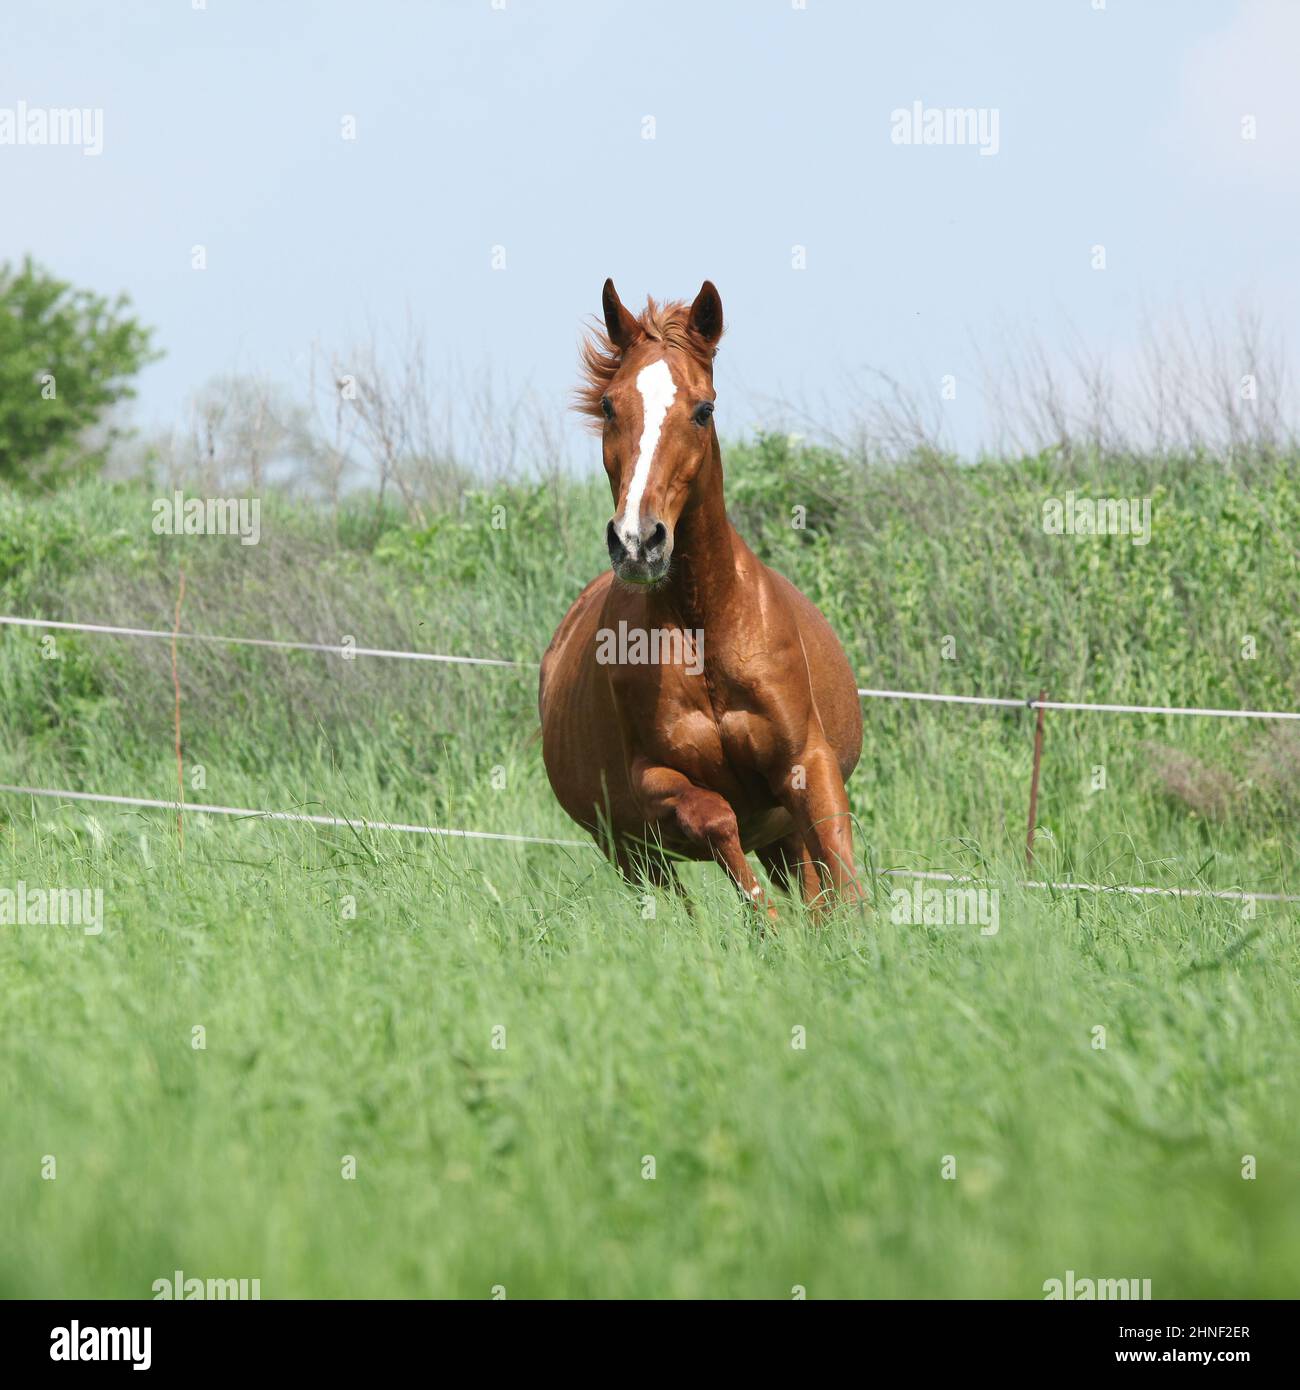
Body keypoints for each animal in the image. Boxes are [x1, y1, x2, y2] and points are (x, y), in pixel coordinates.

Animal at [539, 279, 864, 918]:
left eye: (703, 409)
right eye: (610, 405)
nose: (638, 542)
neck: (703, 624)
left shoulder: (806, 762)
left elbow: (839, 856)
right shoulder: (652, 780)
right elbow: (715, 818)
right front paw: (768, 926)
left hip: (775, 835)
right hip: (628, 852)